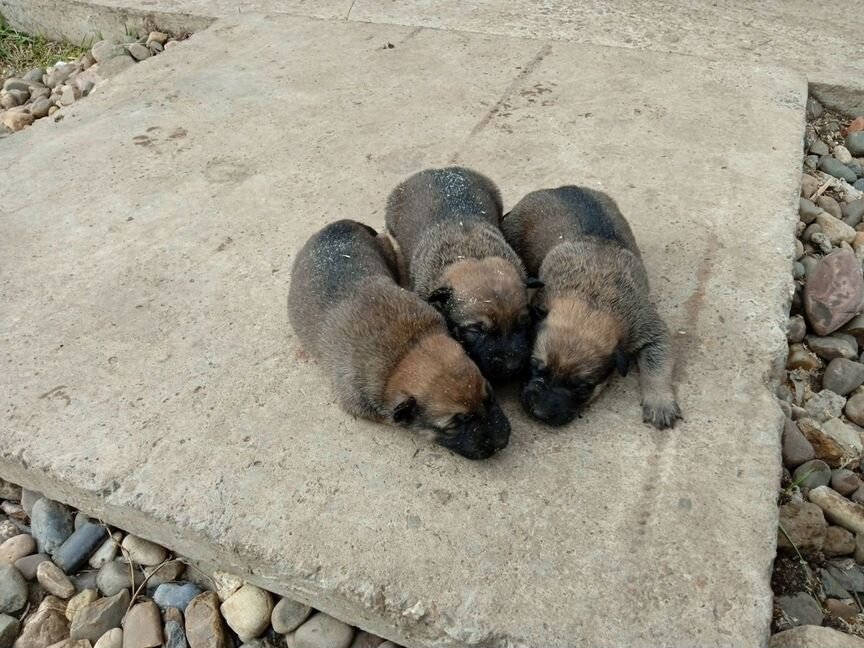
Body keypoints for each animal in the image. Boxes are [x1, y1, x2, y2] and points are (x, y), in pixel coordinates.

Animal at [500, 186, 680, 430]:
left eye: (582, 388)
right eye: (535, 367)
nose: (540, 413)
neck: (592, 300)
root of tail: (557, 189)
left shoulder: (648, 328)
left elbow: (657, 366)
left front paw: (660, 402)